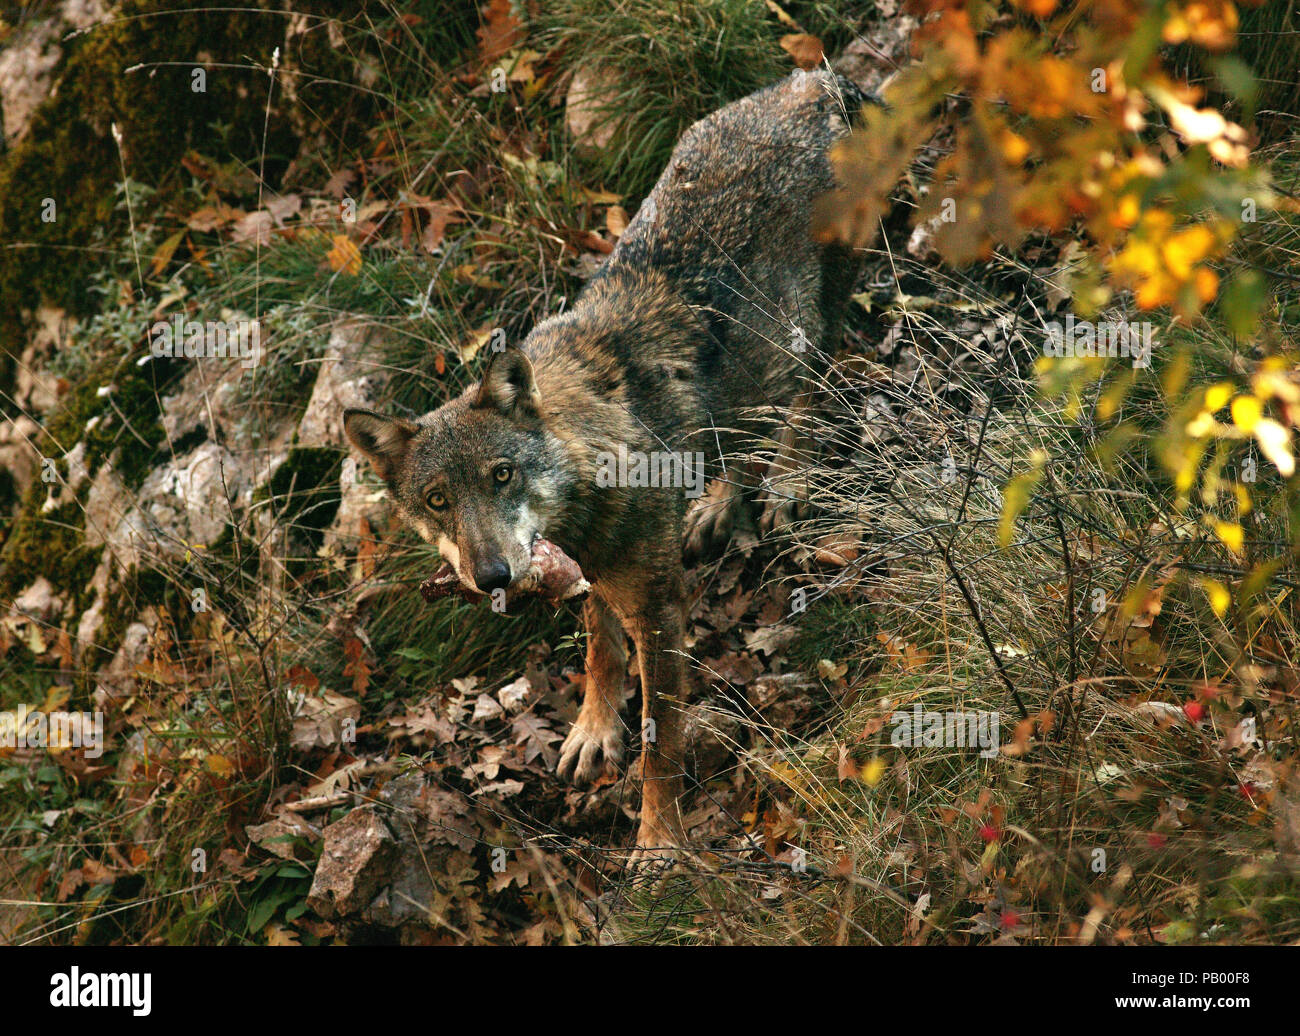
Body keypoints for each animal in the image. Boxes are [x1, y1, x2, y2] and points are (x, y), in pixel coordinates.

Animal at [344, 69, 866, 863]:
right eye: (437, 500)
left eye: (501, 476)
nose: (492, 576)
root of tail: (808, 81)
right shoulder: (591, 571)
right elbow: (597, 645)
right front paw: (594, 730)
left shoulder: (660, 609)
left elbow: (661, 745)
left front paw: (659, 846)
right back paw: (716, 504)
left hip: (810, 333)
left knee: (813, 390)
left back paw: (789, 484)